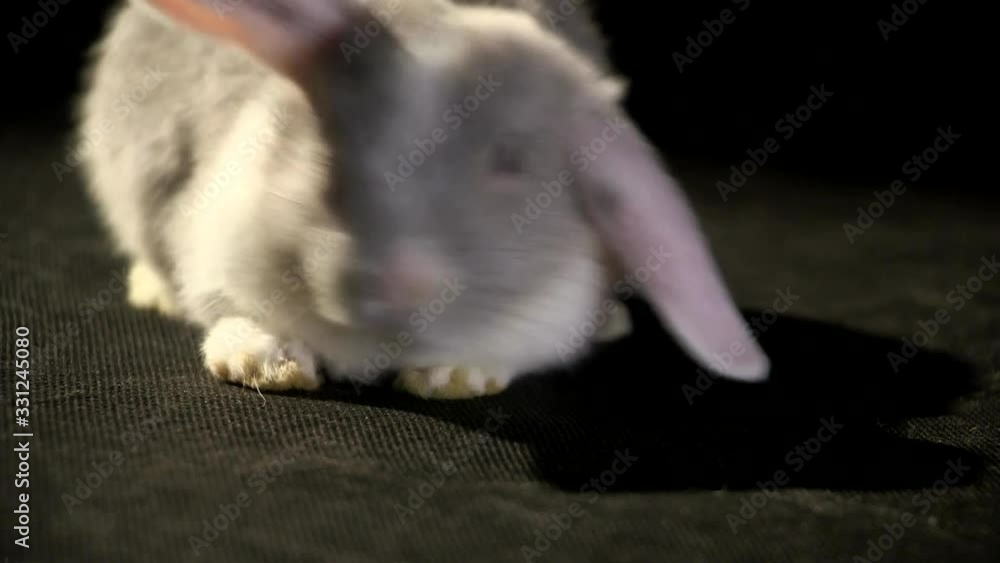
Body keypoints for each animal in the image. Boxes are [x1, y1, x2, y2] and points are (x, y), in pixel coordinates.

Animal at [76, 0, 771, 399]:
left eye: (511, 161)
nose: (390, 279)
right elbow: (230, 310)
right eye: (326, 138)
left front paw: (456, 376)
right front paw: (262, 359)